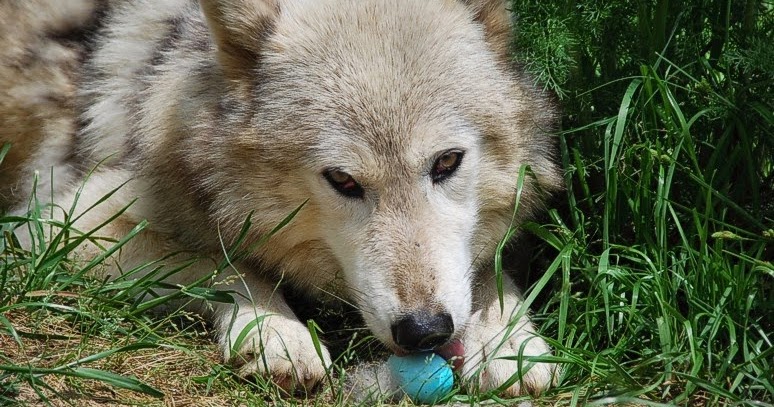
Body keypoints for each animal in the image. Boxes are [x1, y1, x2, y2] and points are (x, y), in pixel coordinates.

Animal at [0, 0, 562, 397]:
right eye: (343, 180)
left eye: (446, 162)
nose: (425, 331)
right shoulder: (60, 226)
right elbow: (225, 264)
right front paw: (279, 334)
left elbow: (488, 273)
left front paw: (508, 339)